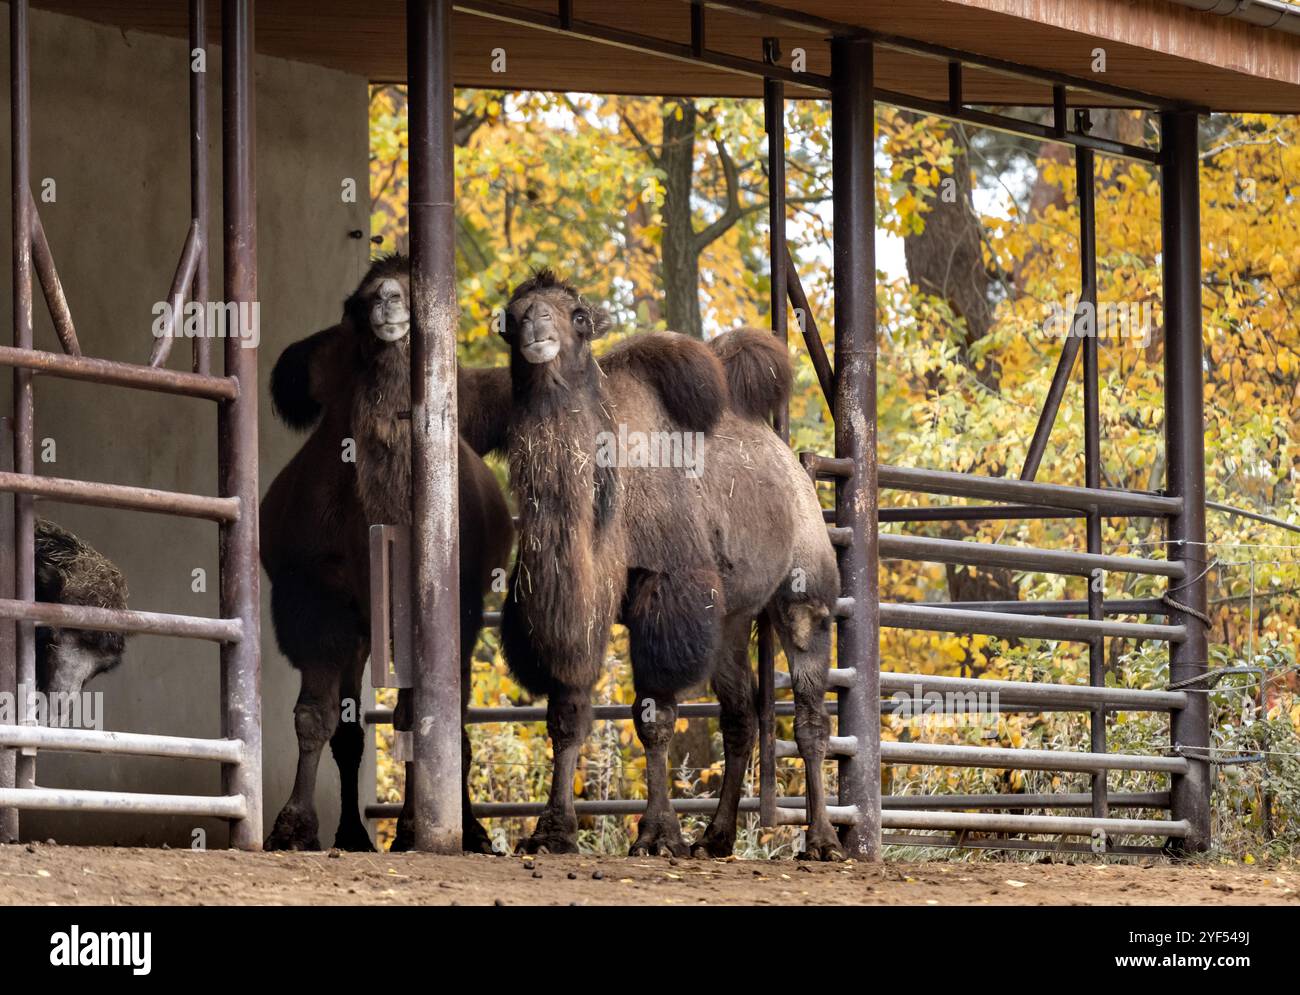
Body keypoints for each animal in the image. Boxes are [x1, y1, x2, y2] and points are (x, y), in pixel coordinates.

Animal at [261, 254, 513, 853]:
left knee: (436, 717)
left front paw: (422, 828)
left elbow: (421, 713)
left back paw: (453, 828)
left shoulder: (446, 610)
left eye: (415, 292)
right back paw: (356, 833)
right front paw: (293, 826)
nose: (387, 300)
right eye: (359, 301)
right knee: (355, 729)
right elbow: (316, 717)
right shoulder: (315, 599)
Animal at [498, 271, 842, 860]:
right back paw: (717, 837)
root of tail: (792, 461)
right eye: (511, 315)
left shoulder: (666, 592)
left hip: (805, 591)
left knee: (810, 719)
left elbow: (654, 718)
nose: (536, 324)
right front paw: (551, 832)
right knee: (739, 716)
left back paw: (821, 841)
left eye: (579, 316)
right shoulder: (573, 611)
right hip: (730, 619)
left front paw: (658, 834)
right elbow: (565, 717)